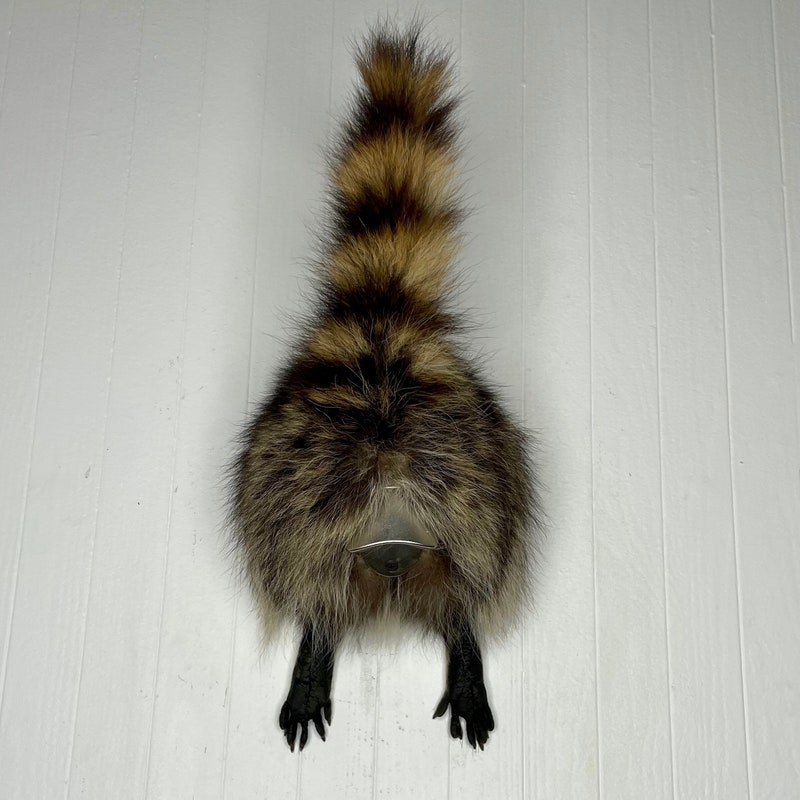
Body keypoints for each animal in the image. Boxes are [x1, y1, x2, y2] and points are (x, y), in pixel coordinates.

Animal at [231, 23, 538, 752]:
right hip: (321, 506)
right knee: (324, 585)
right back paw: (320, 644)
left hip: (471, 496)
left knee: (465, 582)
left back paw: (458, 641)